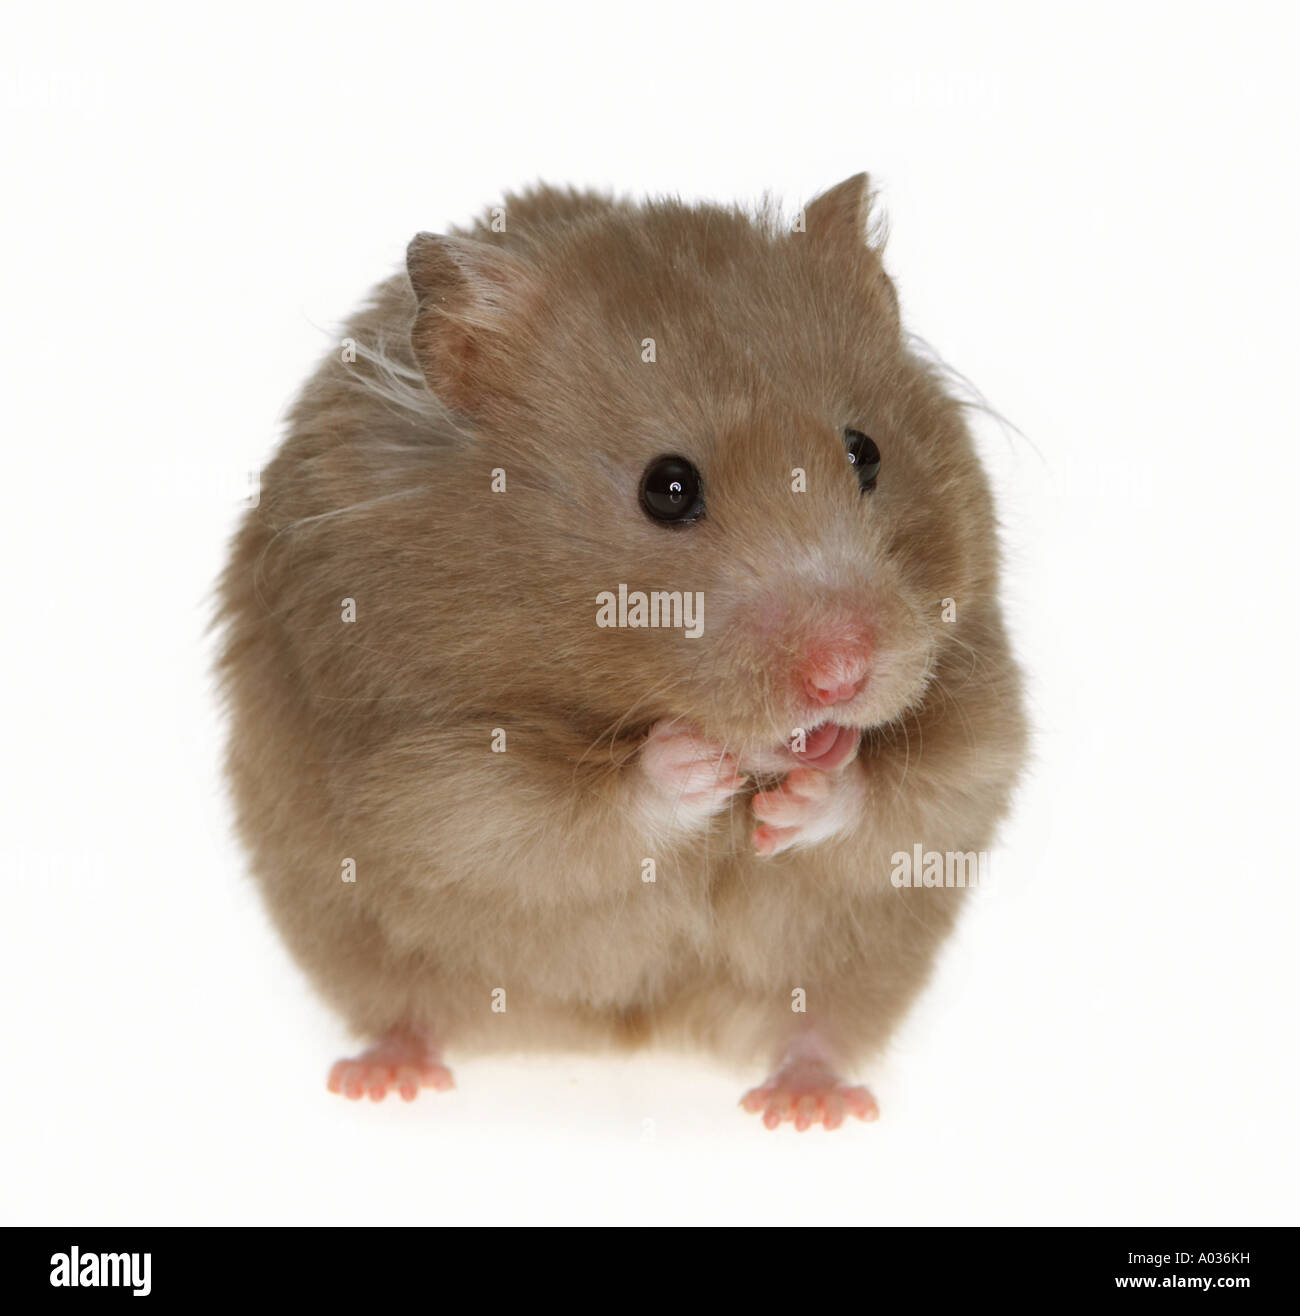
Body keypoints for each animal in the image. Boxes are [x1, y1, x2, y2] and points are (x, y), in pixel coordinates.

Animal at [217, 174, 1027, 1131]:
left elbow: (920, 794)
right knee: (407, 1008)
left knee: (816, 1023)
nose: (842, 677)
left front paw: (809, 781)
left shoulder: (983, 704)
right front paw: (696, 758)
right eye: (666, 489)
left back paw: (807, 1107)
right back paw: (387, 1083)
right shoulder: (423, 766)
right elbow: (553, 814)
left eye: (865, 452)